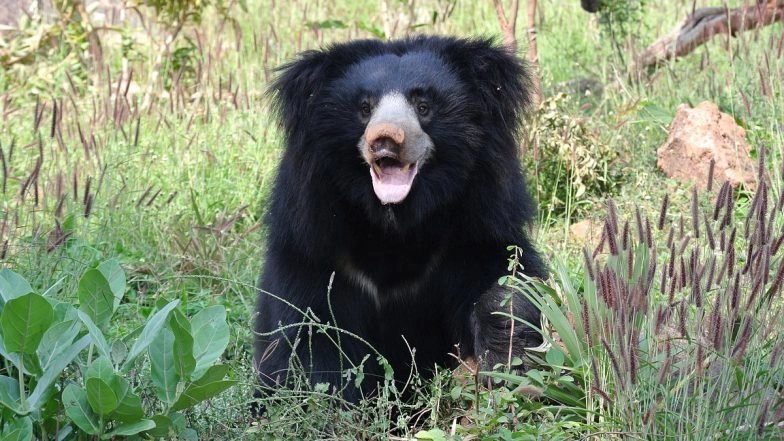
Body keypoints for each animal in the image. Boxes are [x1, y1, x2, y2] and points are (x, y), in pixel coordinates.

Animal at [254, 36, 546, 404]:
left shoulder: (477, 224)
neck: (396, 222)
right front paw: (327, 399)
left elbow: (505, 279)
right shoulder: (312, 242)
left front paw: (503, 356)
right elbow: (309, 332)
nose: (385, 139)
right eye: (365, 108)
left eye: (423, 106)